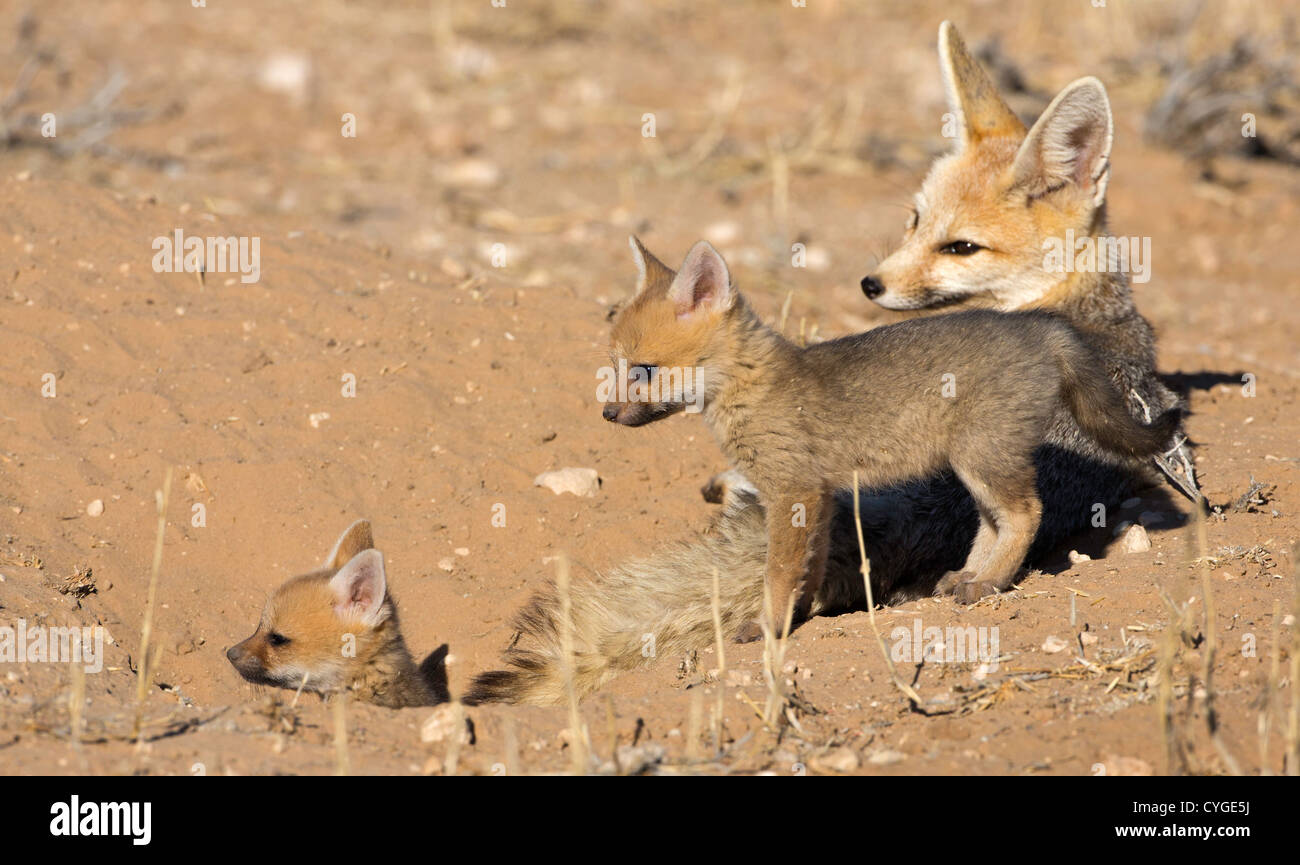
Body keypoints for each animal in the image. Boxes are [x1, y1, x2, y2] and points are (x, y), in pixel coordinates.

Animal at [465, 22, 1195, 705]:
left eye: (640, 372)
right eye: (614, 368)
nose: (609, 414)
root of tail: (1043, 328)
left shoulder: (792, 490)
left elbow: (778, 573)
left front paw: (767, 626)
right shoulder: (815, 498)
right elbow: (808, 571)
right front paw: (804, 612)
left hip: (980, 458)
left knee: (1023, 514)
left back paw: (985, 582)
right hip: (972, 466)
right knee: (997, 522)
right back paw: (965, 577)